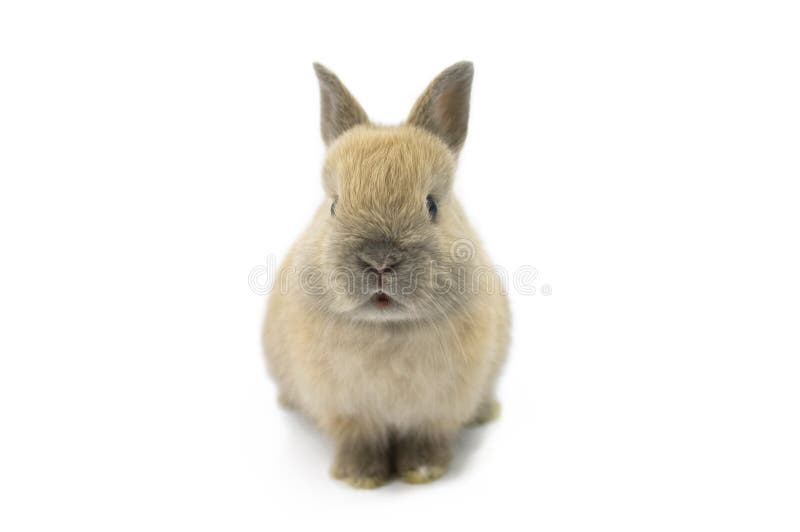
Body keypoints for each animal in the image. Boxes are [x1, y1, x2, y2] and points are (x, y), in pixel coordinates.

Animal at [262, 61, 510, 488]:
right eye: (334, 206)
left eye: (432, 205)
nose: (379, 261)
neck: (387, 328)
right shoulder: (347, 410)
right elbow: (359, 439)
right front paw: (360, 477)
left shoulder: (437, 410)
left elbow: (425, 437)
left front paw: (424, 471)